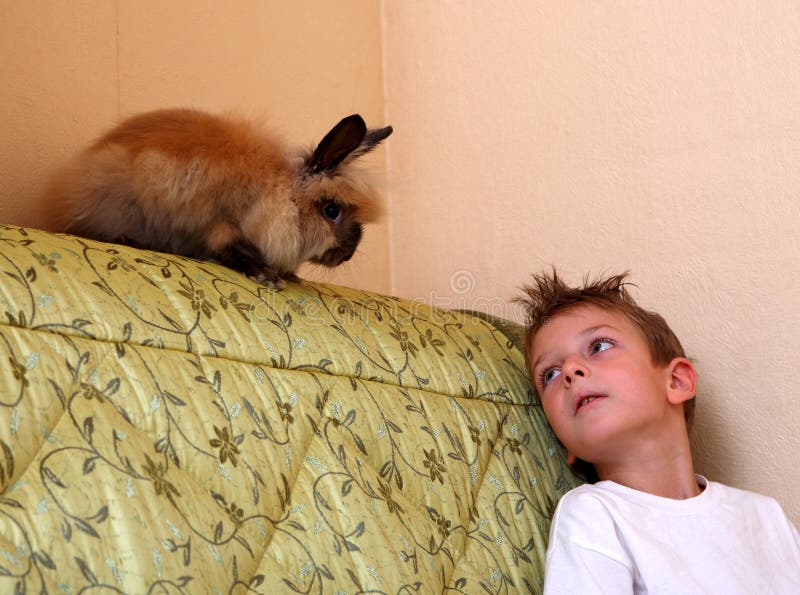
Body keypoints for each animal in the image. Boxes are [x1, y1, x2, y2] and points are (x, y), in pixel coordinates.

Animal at [43, 108, 392, 288]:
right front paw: (267, 277)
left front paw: (289, 276)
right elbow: (231, 247)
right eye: (331, 211)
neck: (282, 191)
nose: (346, 255)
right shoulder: (222, 223)